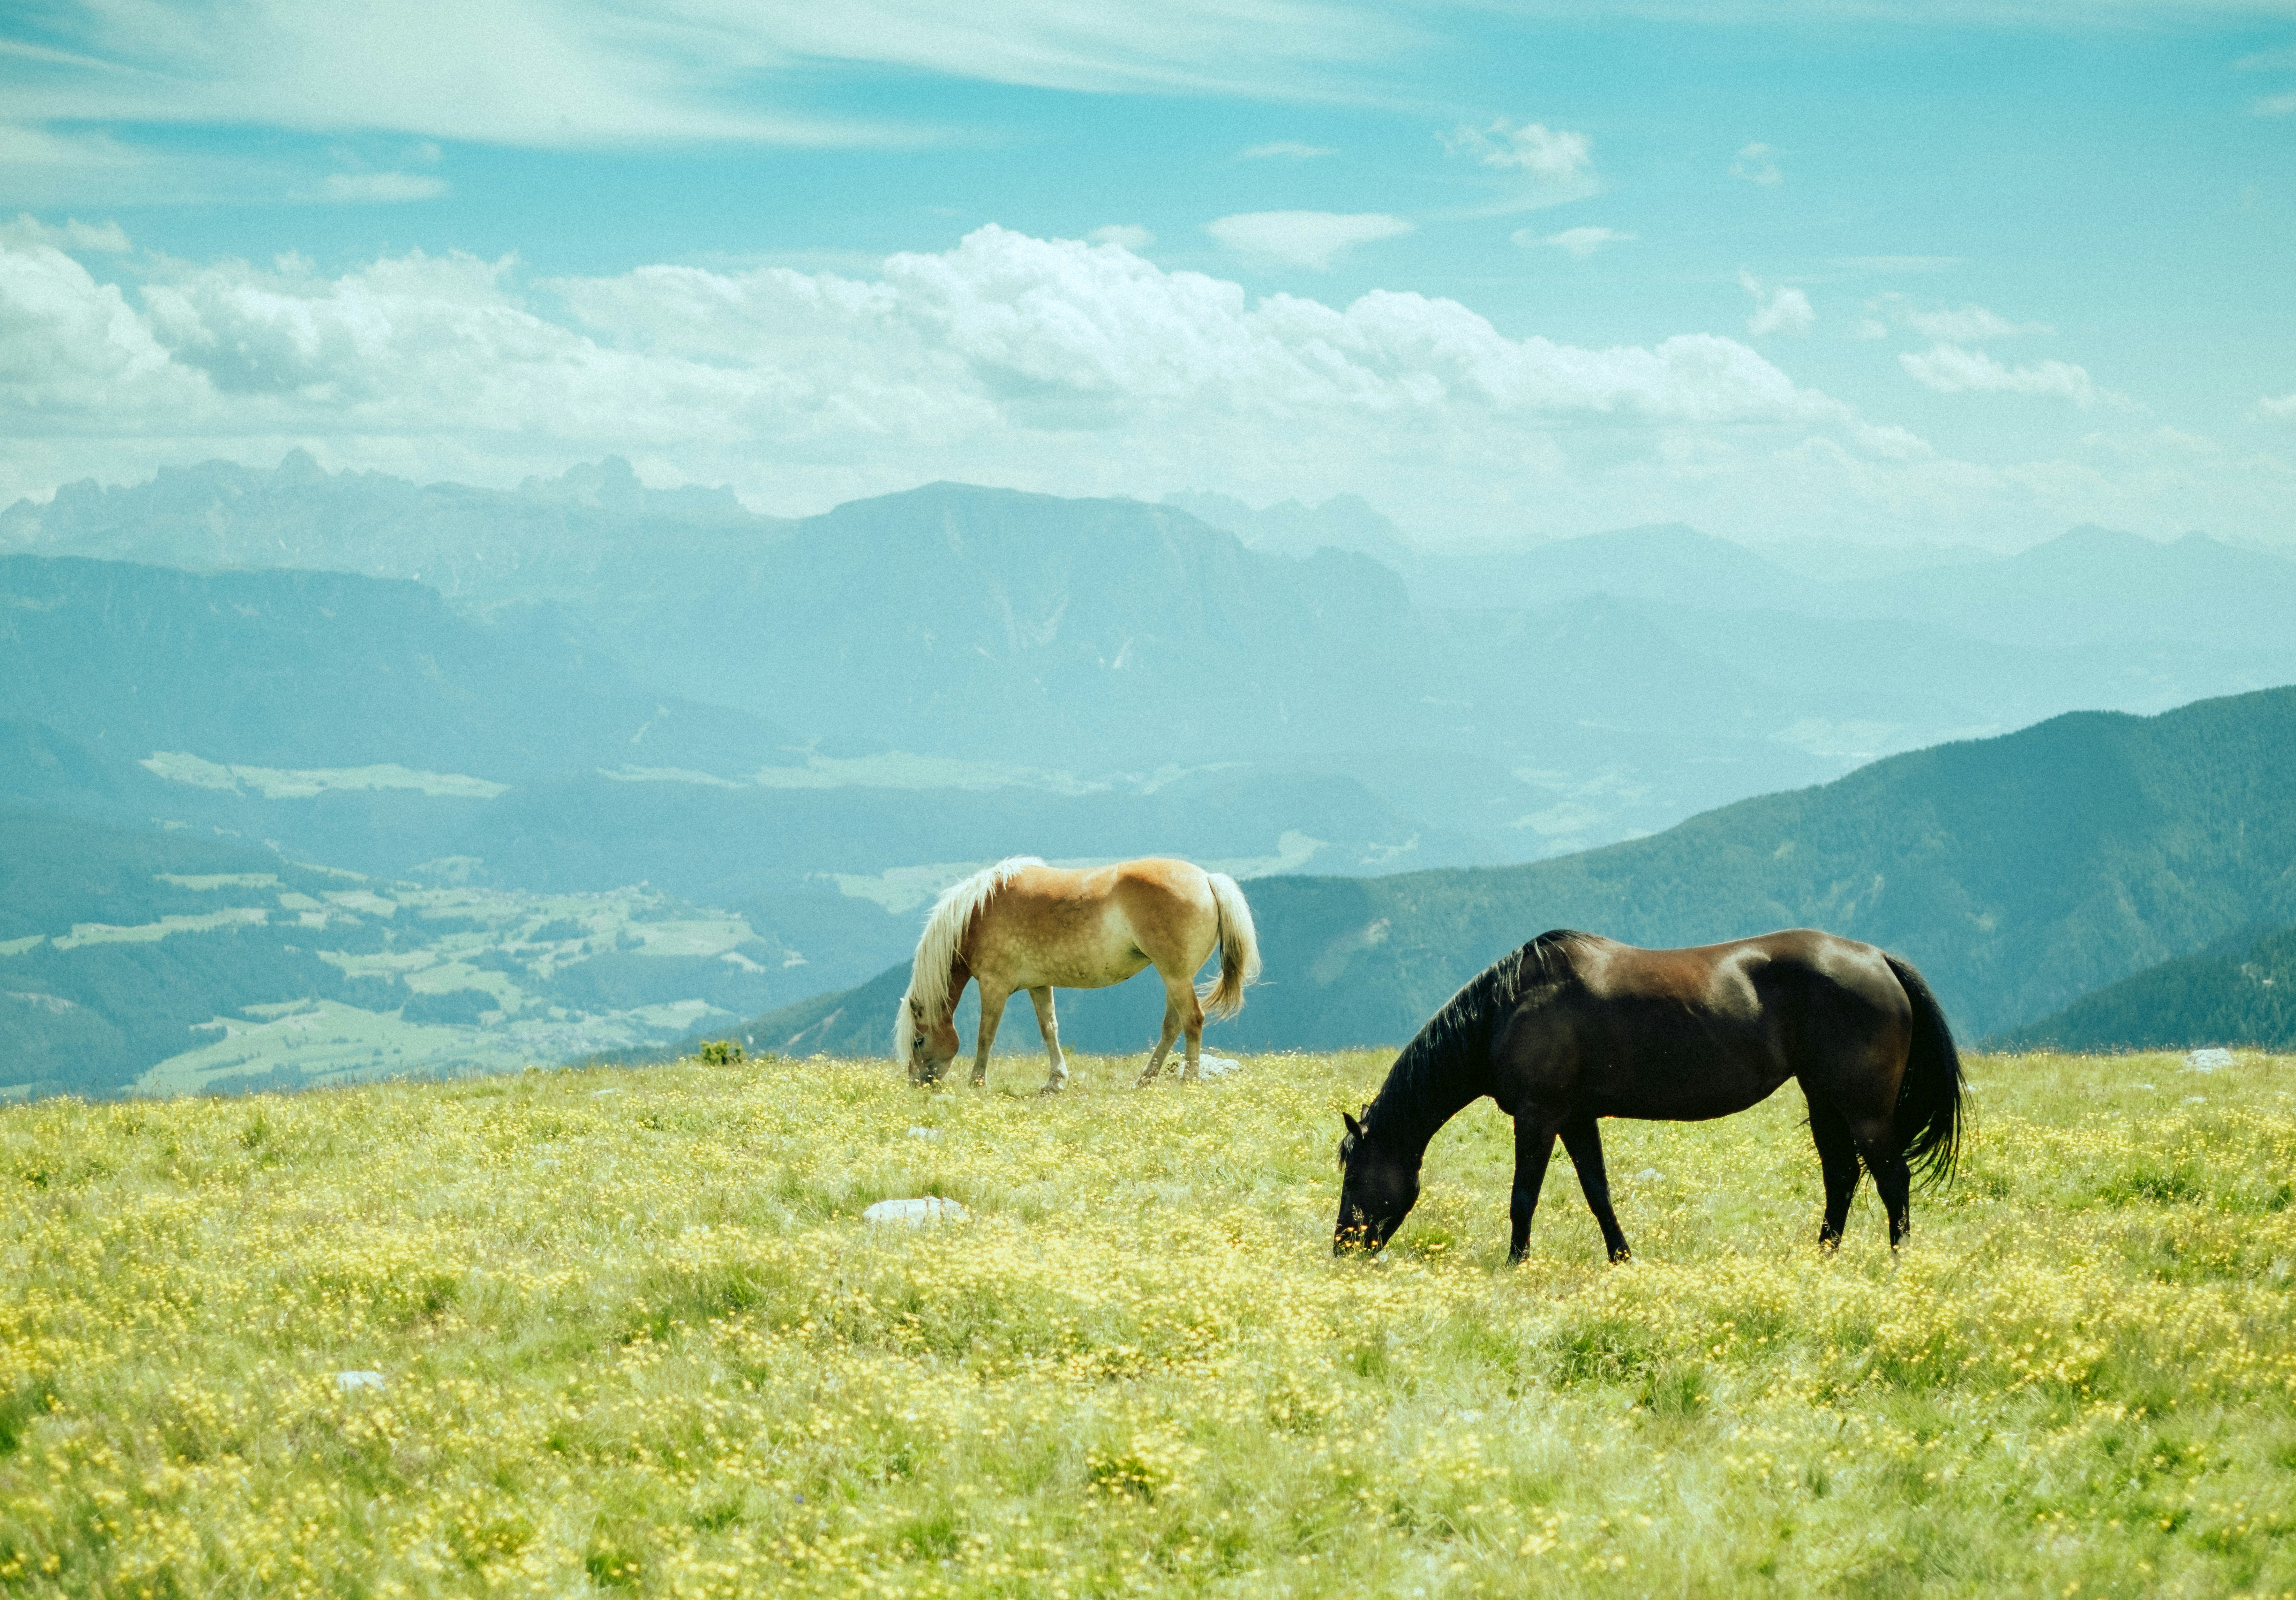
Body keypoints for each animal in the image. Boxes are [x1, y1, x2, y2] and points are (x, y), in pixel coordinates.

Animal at [895, 856, 1261, 1093]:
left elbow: (986, 1034)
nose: (918, 1083)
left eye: (918, 1040)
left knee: (1193, 1020)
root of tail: (1208, 880)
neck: (978, 912)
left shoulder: (993, 986)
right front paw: (1055, 1081)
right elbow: (1049, 1029)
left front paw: (977, 1081)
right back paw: (1145, 1080)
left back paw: (1189, 1080)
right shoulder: (1039, 985)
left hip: (1175, 975)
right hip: (1176, 976)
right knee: (1174, 1025)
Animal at [1334, 928, 1965, 1262]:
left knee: (1890, 1177)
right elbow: (1598, 1193)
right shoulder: (1576, 1118)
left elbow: (1522, 1198)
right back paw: (1822, 1257)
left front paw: (1515, 1264)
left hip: (1863, 1107)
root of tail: (1879, 959)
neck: (1505, 1010)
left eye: (1354, 1173)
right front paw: (1622, 1258)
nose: (1343, 1247)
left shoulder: (1539, 1116)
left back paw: (1897, 1260)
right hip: (1822, 1100)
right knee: (1842, 1176)